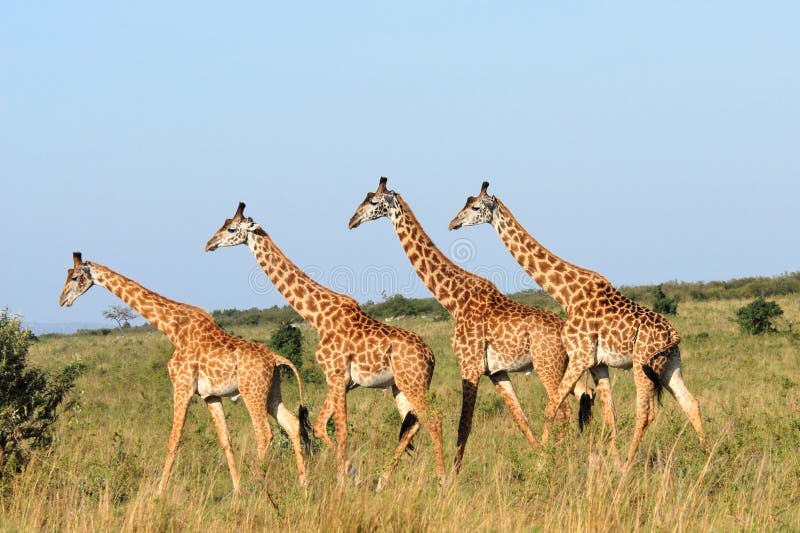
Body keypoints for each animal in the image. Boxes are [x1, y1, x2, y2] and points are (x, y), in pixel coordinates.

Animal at [59, 252, 310, 494]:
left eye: (75, 277)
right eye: (68, 274)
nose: (62, 300)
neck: (172, 329)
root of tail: (276, 358)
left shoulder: (182, 386)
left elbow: (174, 439)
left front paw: (160, 491)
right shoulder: (210, 395)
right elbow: (225, 440)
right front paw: (236, 489)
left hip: (252, 391)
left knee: (264, 433)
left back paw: (256, 482)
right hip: (272, 390)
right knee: (291, 423)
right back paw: (302, 483)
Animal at [205, 203, 445, 489]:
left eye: (231, 229)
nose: (209, 244)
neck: (317, 317)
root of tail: (431, 355)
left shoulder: (336, 375)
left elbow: (340, 431)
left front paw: (344, 480)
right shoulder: (340, 380)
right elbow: (320, 427)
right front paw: (350, 474)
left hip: (413, 382)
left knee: (433, 421)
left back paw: (445, 480)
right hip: (400, 385)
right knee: (413, 423)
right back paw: (383, 480)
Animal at [348, 177, 604, 472]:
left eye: (373, 202)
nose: (352, 220)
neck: (453, 299)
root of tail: (566, 329)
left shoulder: (469, 364)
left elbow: (464, 424)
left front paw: (451, 476)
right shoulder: (496, 371)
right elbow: (520, 419)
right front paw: (538, 458)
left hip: (546, 364)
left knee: (562, 409)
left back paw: (559, 461)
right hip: (563, 365)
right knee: (584, 395)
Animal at [449, 182, 706, 469]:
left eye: (475, 207)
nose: (453, 223)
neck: (567, 294)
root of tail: (673, 333)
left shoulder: (579, 356)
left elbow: (551, 409)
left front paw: (545, 461)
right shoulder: (597, 363)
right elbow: (610, 414)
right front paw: (610, 462)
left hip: (642, 363)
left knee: (646, 413)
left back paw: (630, 465)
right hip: (671, 364)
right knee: (691, 403)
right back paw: (707, 457)